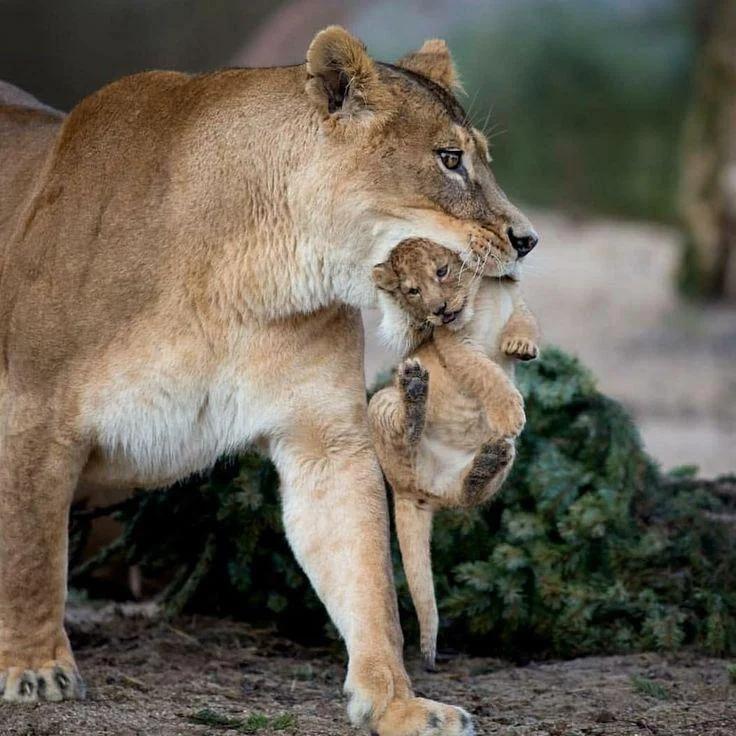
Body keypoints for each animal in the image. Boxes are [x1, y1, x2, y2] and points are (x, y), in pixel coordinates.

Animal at [368, 238, 539, 671]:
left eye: (442, 272)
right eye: (412, 291)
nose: (439, 309)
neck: (480, 296)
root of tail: (414, 494)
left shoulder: (518, 303)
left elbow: (527, 322)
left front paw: (520, 345)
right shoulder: (454, 345)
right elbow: (486, 373)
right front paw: (509, 411)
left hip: (486, 469)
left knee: (469, 492)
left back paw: (487, 462)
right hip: (381, 404)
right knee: (406, 435)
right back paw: (415, 391)